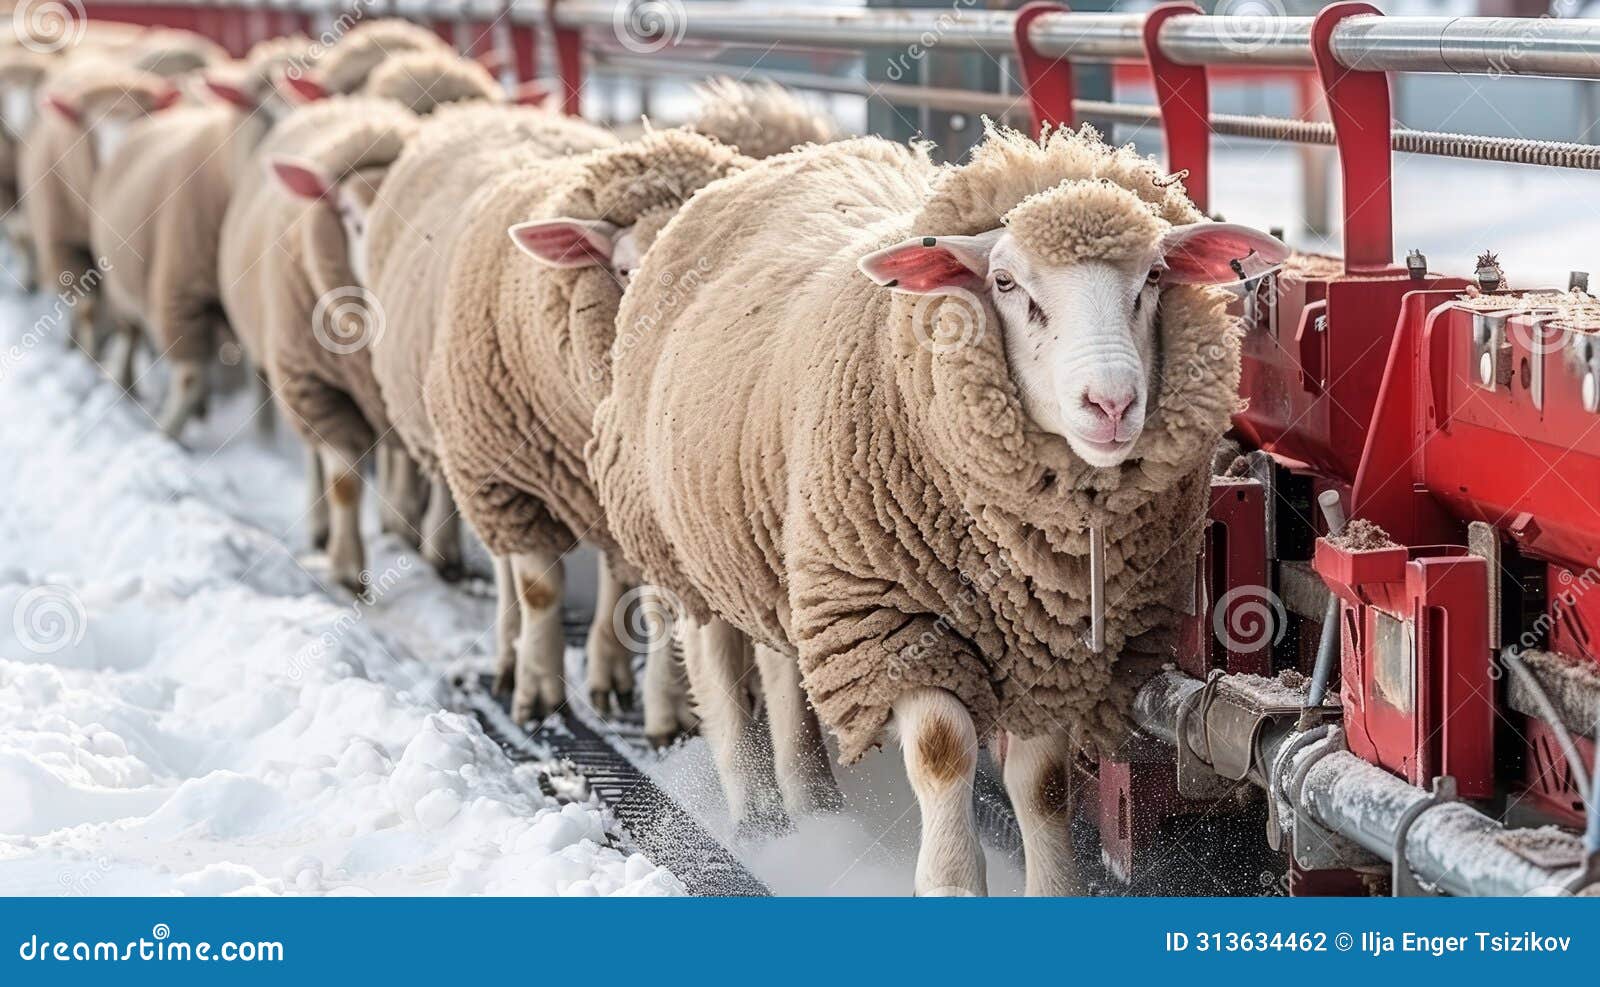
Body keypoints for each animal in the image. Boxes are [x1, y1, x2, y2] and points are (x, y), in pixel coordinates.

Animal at [88, 35, 317, 435]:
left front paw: (264, 438)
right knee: (130, 333)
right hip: (120, 280)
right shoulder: (179, 296)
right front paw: (168, 433)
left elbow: (261, 384)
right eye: (266, 113)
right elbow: (190, 378)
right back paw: (128, 386)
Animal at [588, 124, 1288, 893]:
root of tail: (781, 161)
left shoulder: (1050, 649)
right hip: (683, 536)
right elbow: (943, 750)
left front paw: (1053, 884)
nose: (1110, 402)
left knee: (780, 659)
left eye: (1155, 278)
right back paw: (759, 815)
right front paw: (949, 879)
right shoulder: (891, 622)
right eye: (1005, 282)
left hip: (771, 546)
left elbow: (1044, 785)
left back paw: (815, 803)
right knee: (715, 660)